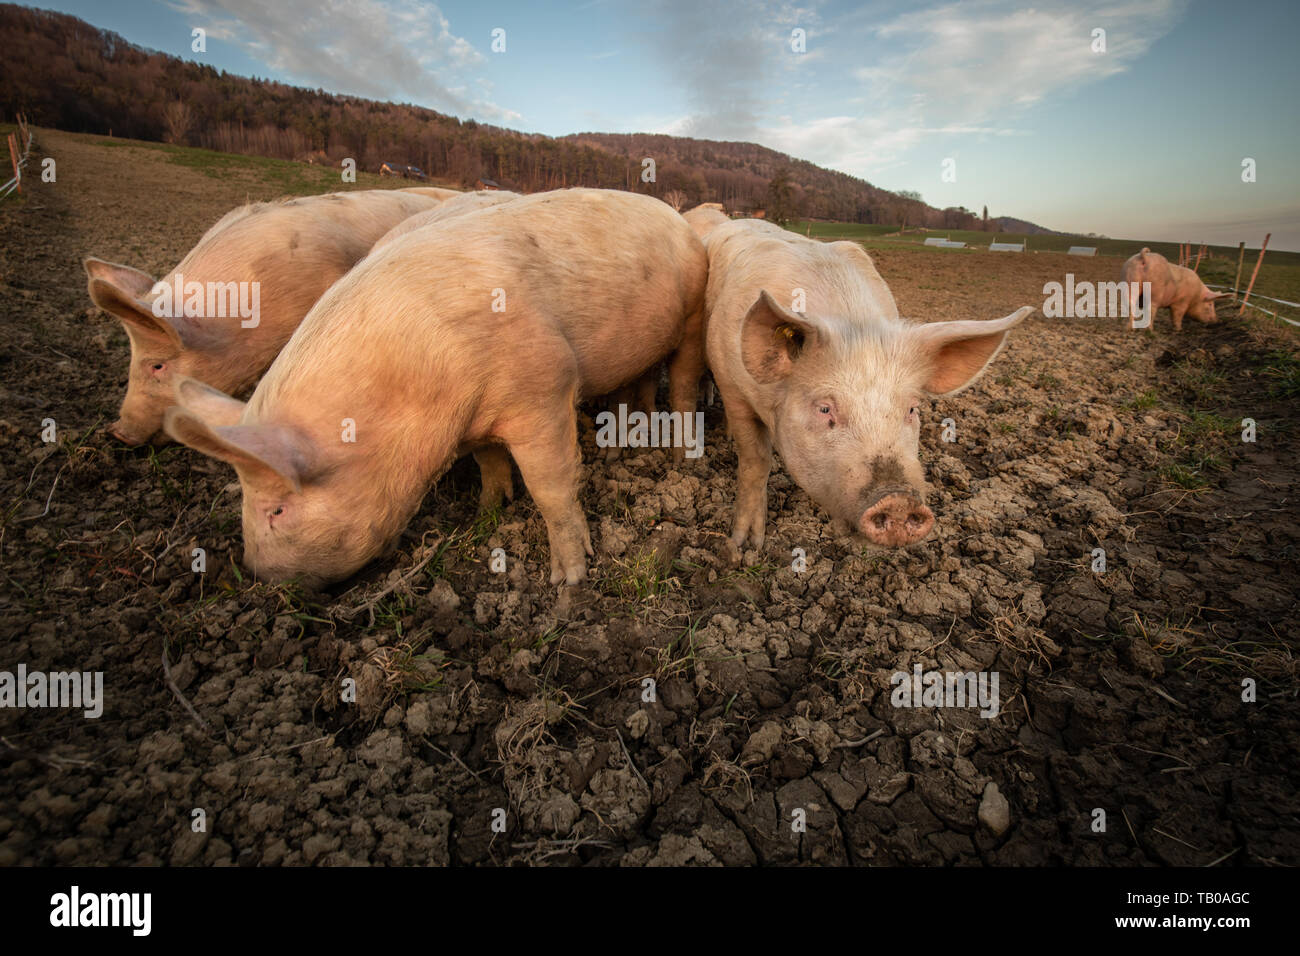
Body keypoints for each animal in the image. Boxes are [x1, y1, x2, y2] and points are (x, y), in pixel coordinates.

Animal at [163, 188, 709, 588]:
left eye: (276, 509)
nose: (257, 576)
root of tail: (677, 217)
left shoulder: (544, 387)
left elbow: (552, 487)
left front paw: (568, 581)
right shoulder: (476, 419)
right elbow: (490, 463)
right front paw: (488, 511)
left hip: (693, 315)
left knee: (682, 382)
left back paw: (680, 456)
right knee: (636, 382)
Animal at [701, 218, 1033, 550]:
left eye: (912, 409)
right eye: (825, 409)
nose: (897, 501)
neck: (854, 328)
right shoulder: (732, 383)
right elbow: (756, 460)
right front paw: (745, 545)